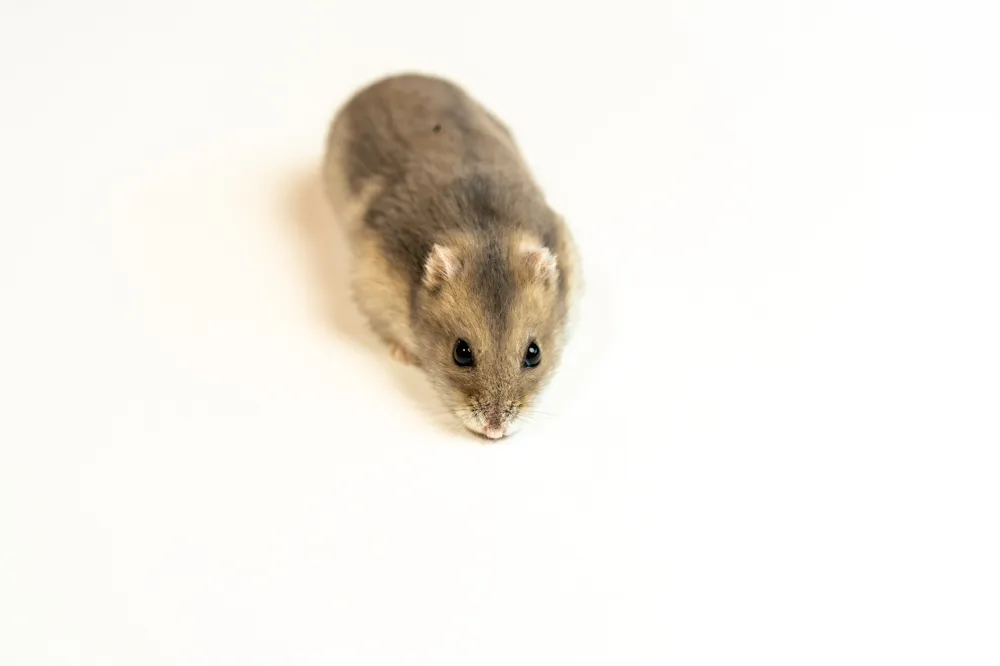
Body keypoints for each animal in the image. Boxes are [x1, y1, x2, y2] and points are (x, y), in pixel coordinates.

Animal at [322, 74, 579, 439]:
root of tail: (393, 77)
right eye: (461, 353)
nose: (495, 431)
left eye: (534, 354)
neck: (486, 231)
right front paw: (403, 354)